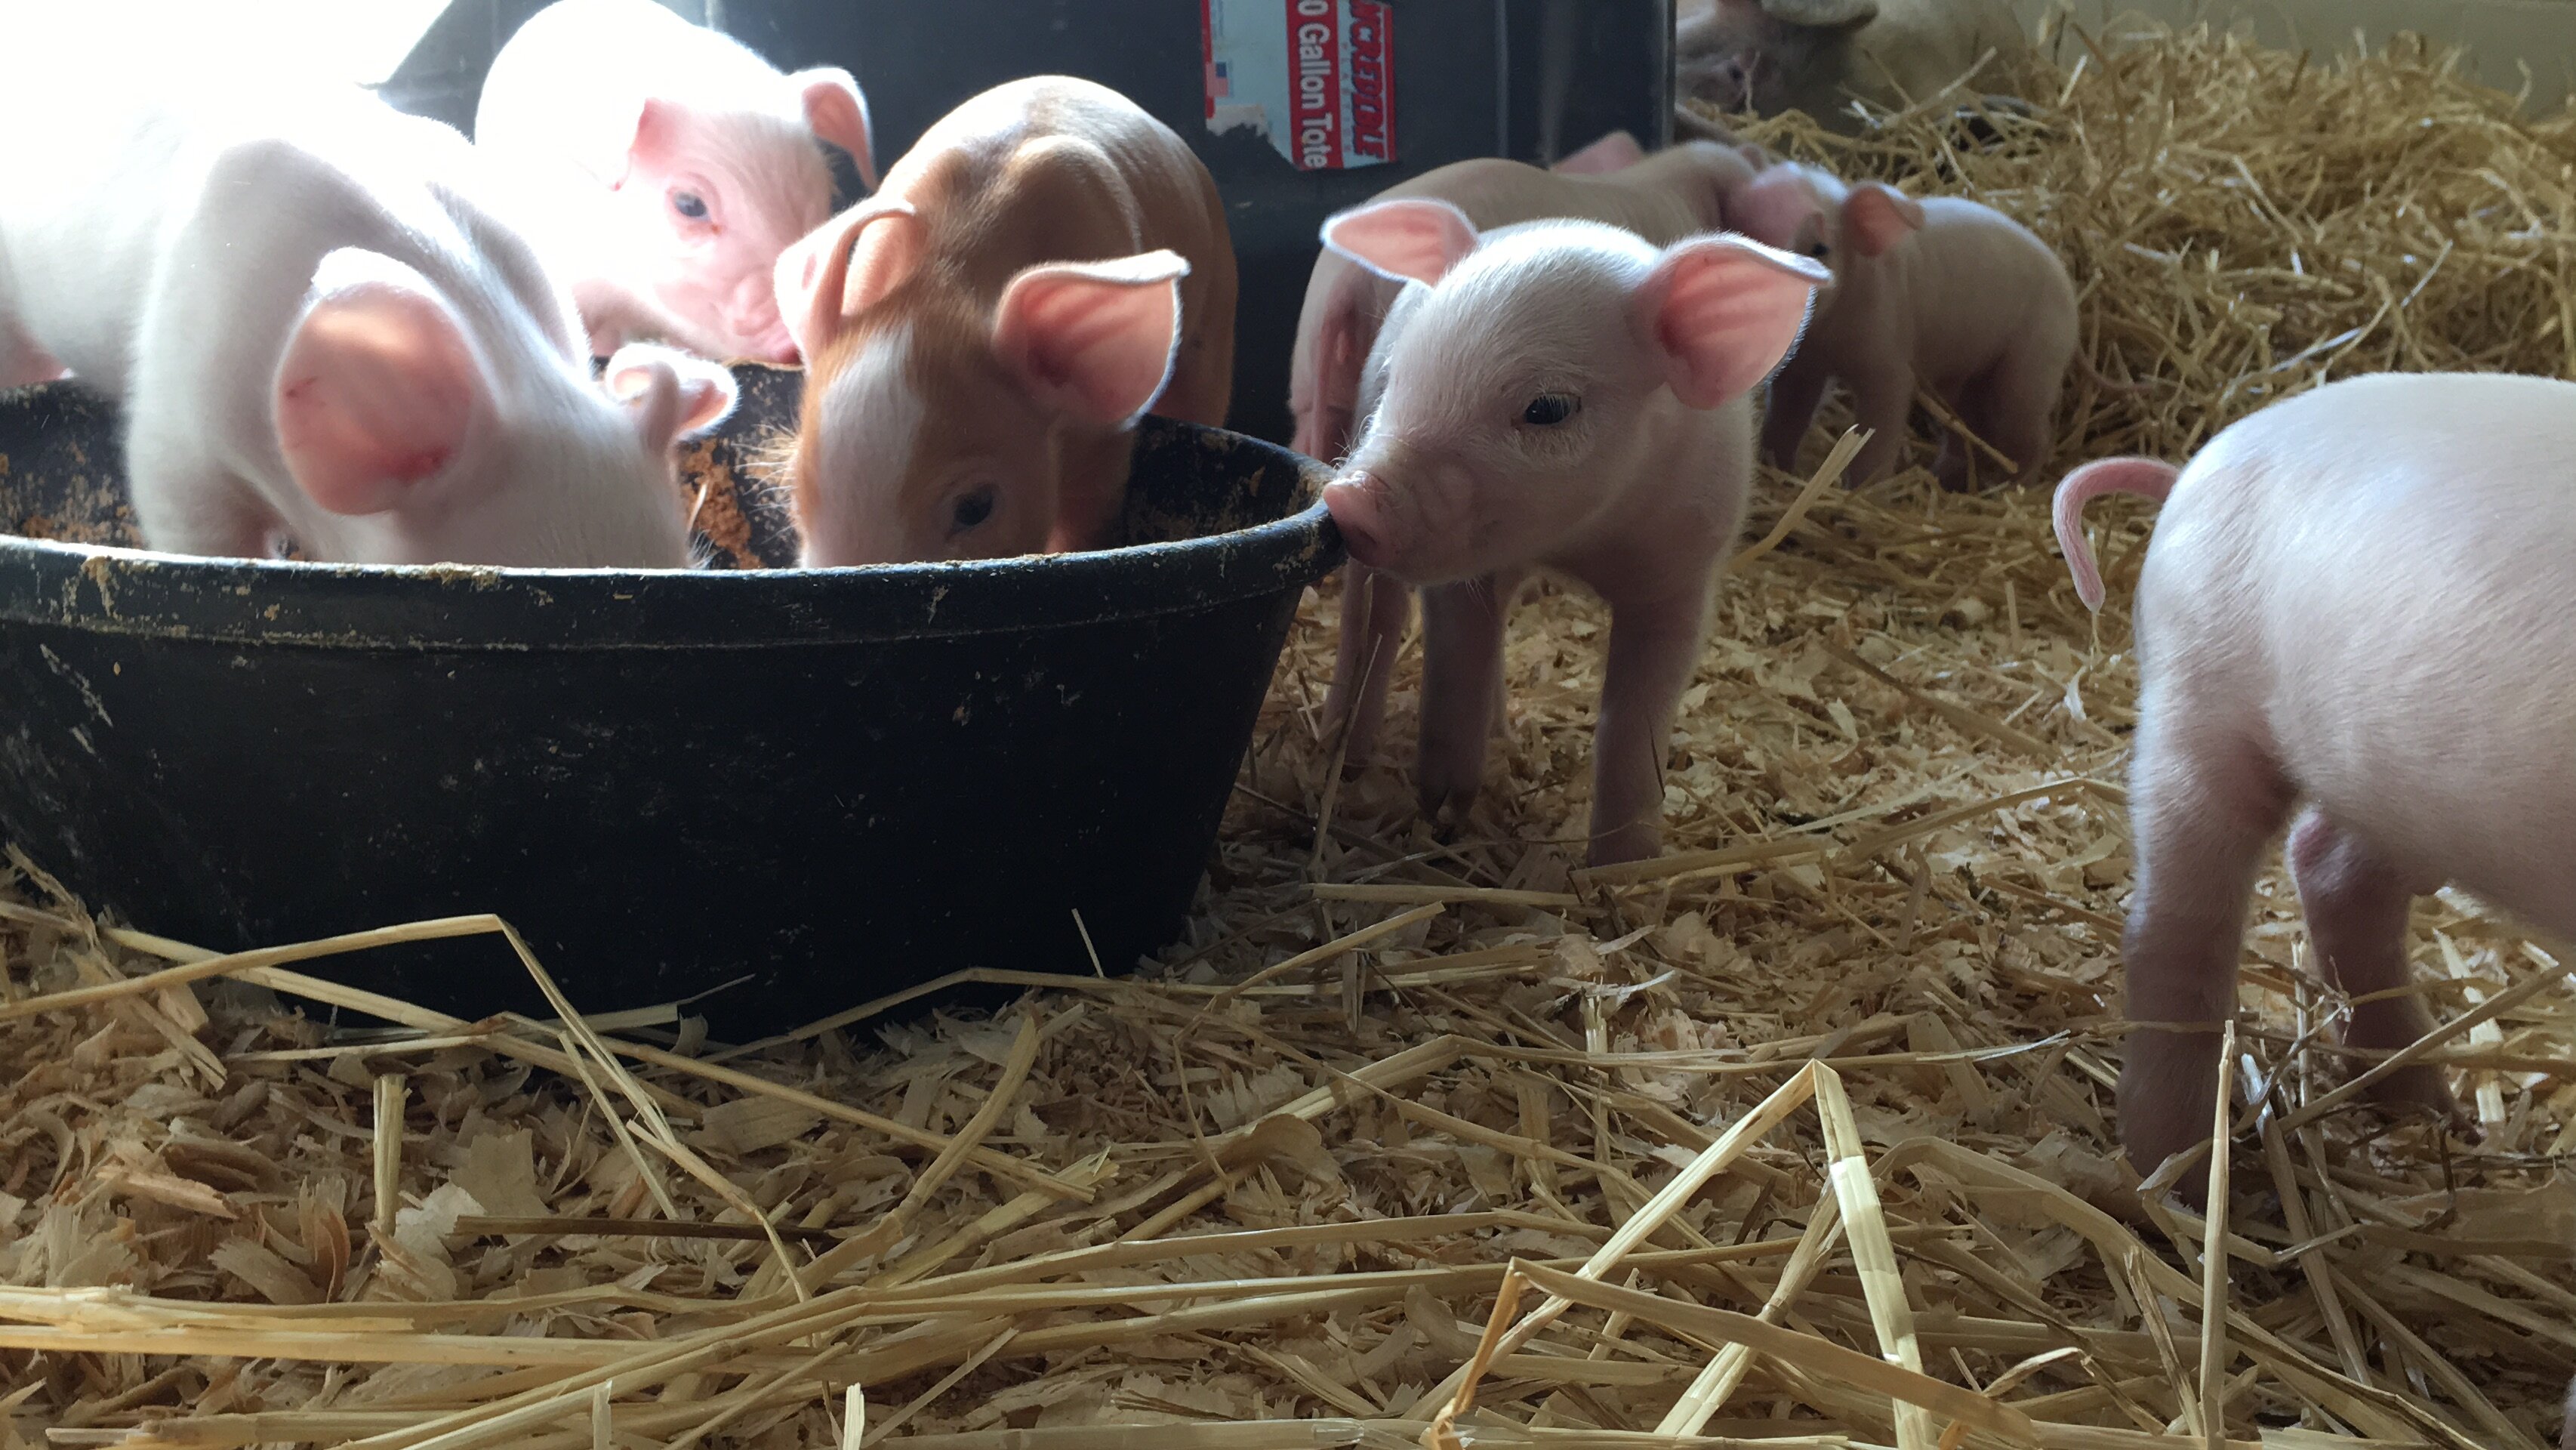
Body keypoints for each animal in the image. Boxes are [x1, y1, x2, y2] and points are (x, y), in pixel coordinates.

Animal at [772, 76, 1236, 566]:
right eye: (793, 490)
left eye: (975, 507)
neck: (936, 289)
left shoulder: (1103, 437)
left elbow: (1086, 516)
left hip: (1217, 312)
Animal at [1315, 199, 1826, 865]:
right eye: (1400, 372)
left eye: (1549, 408)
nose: (1351, 500)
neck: (1579, 546)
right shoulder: (1460, 574)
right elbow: (1455, 671)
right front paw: (1442, 814)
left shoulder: (1683, 574)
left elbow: (1634, 720)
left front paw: (1623, 869)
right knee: (1373, 618)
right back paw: (1345, 754)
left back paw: (1504, 734)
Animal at [1727, 160, 2077, 489]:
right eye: (1740, 233)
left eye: (1820, 249)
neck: (1829, 338)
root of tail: (2067, 285)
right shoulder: (1802, 365)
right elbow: (1787, 418)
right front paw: (1776, 472)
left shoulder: (1886, 355)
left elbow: (1880, 422)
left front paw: (1864, 492)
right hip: (1963, 379)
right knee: (1968, 429)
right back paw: (1943, 481)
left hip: (2033, 363)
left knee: (2032, 434)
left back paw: (2013, 488)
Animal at [2051, 372, 2576, 1190]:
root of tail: (2192, 468)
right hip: (2200, 701)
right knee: (2173, 924)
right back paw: (2172, 1172)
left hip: (2390, 772)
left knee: (2328, 867)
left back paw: (2436, 1114)